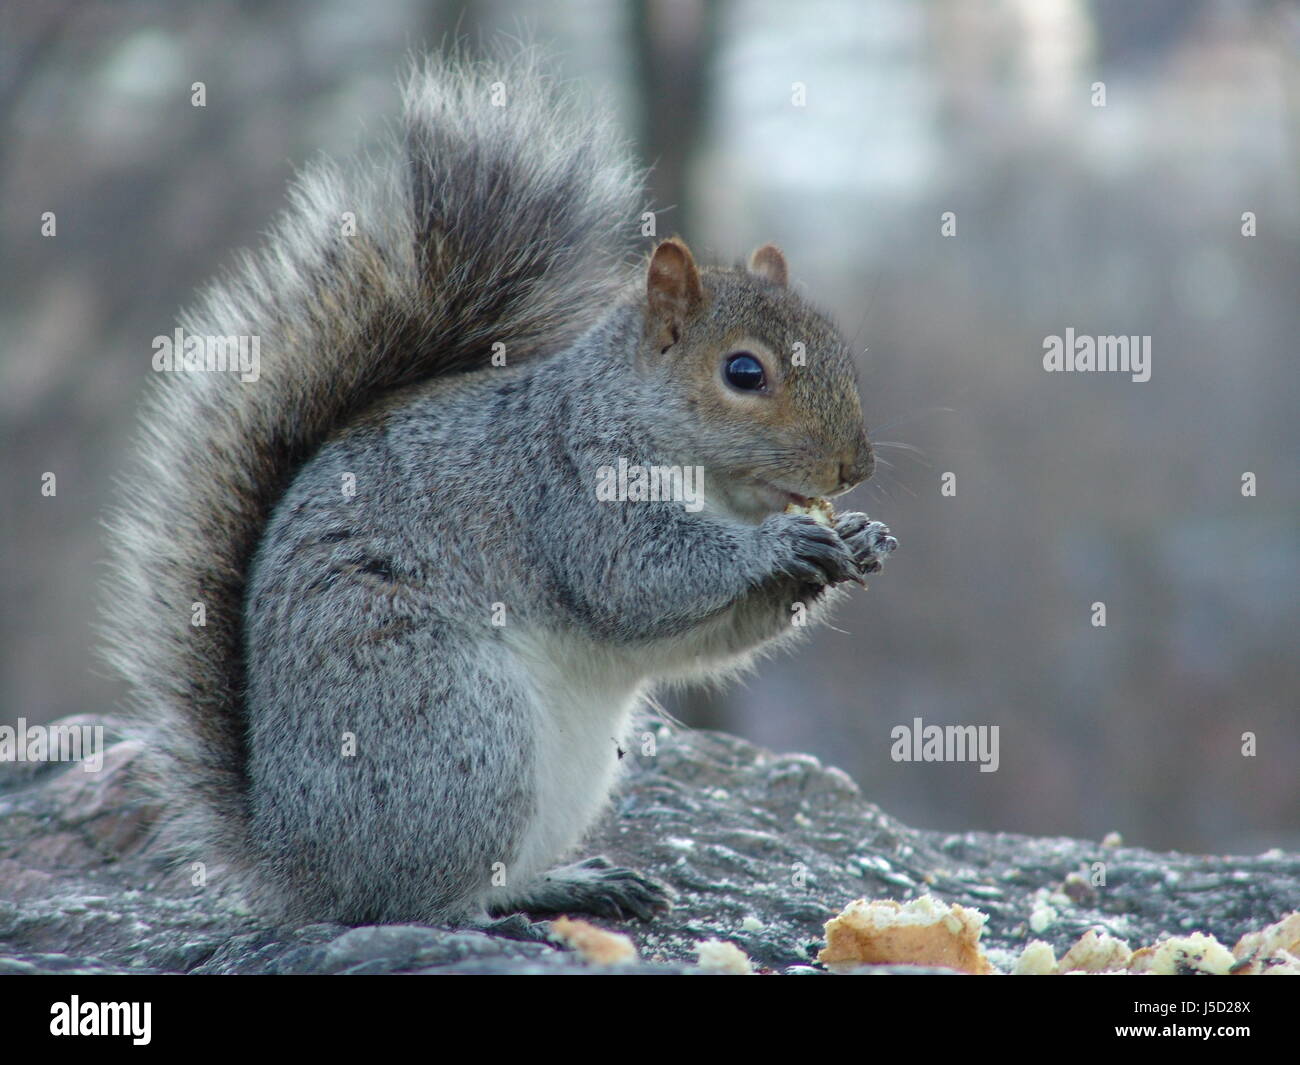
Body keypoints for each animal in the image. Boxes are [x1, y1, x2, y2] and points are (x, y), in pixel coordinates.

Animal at [103, 51, 897, 929]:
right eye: (745, 372)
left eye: (835, 346)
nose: (854, 468)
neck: (712, 486)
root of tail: (297, 864)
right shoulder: (571, 491)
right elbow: (639, 580)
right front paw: (781, 543)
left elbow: (704, 638)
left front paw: (857, 539)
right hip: (453, 729)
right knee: (418, 898)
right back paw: (488, 913)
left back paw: (571, 884)